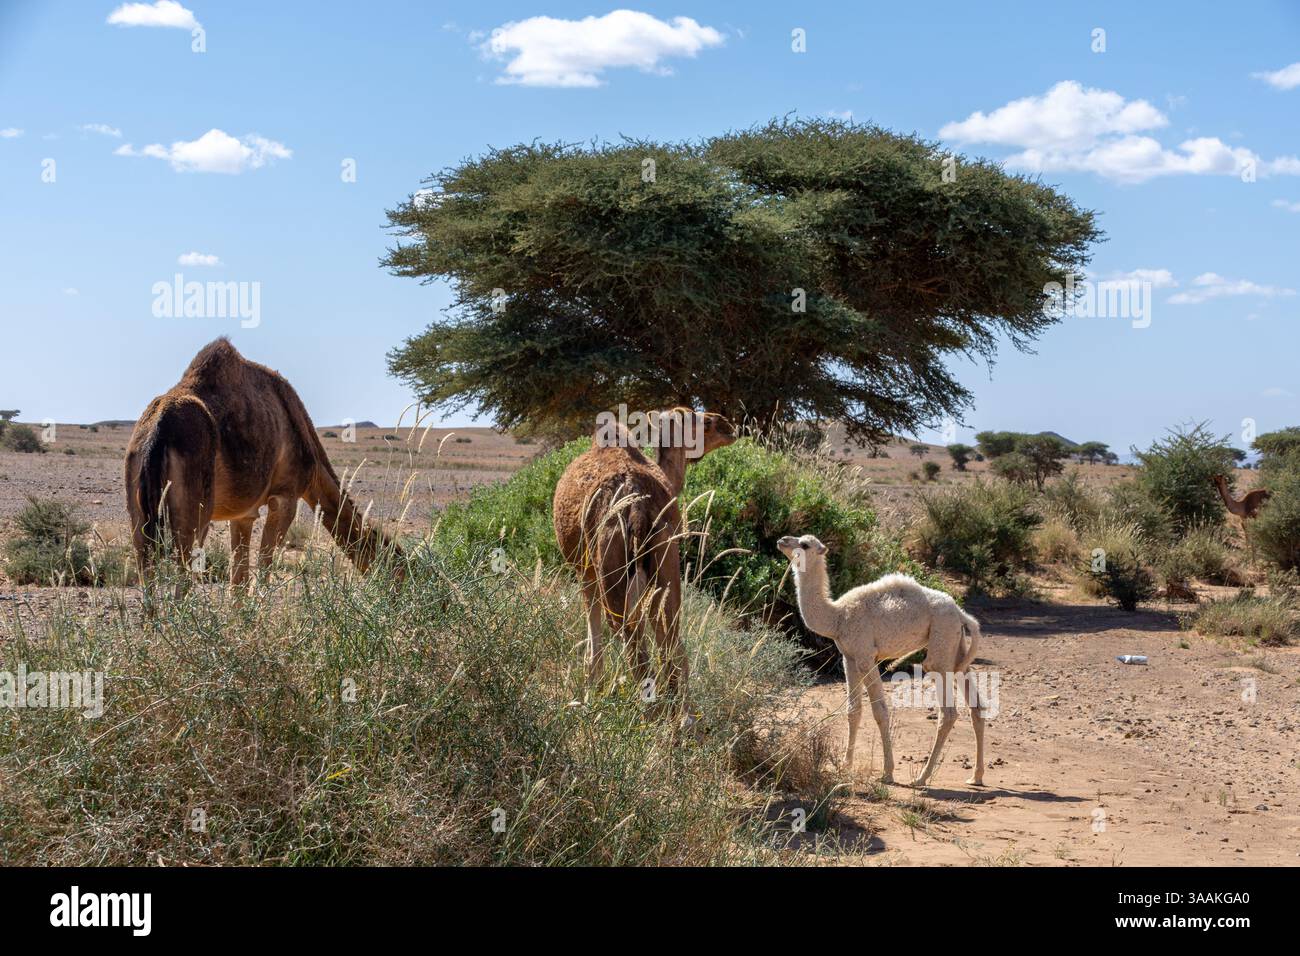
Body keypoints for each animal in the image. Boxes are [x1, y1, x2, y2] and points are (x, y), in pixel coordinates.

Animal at [125, 338, 402, 591]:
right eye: (398, 567)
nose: (397, 596)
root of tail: (157, 431)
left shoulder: (242, 515)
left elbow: (239, 582)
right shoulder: (286, 497)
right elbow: (263, 573)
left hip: (139, 502)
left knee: (146, 572)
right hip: (194, 508)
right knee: (181, 576)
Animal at [552, 408, 734, 721]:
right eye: (704, 422)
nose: (728, 425)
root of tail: (635, 504)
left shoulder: (585, 574)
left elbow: (593, 645)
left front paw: (589, 696)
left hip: (613, 569)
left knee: (634, 645)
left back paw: (650, 716)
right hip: (665, 559)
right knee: (669, 639)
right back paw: (681, 719)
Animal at [777, 534, 987, 787]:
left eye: (805, 544)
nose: (782, 540)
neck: (837, 617)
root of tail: (960, 613)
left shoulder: (866, 657)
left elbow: (880, 711)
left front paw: (887, 773)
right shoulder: (849, 657)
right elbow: (853, 710)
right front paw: (845, 766)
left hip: (941, 649)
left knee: (948, 712)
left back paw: (921, 778)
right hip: (956, 649)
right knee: (976, 705)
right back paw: (976, 777)